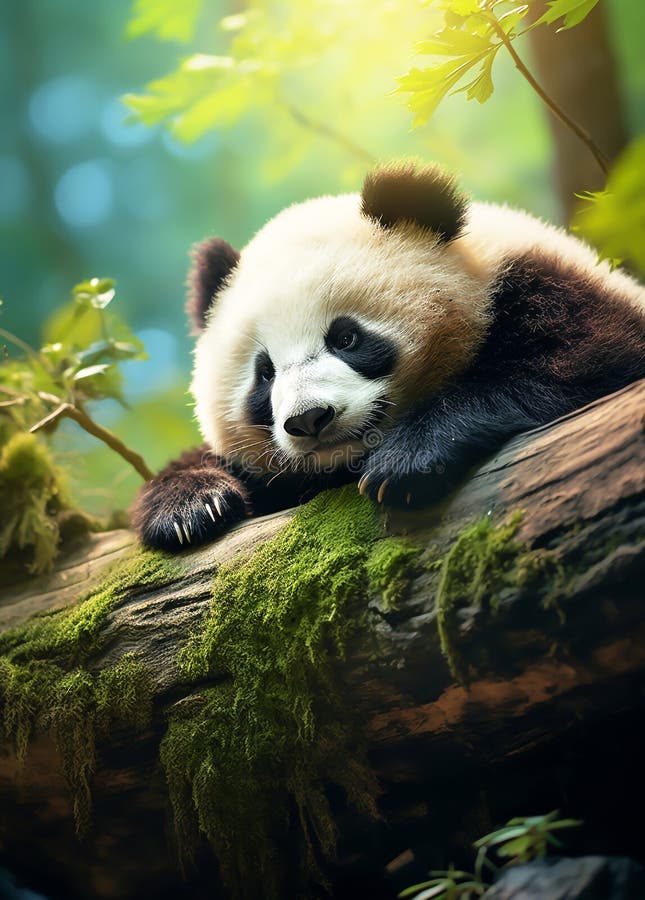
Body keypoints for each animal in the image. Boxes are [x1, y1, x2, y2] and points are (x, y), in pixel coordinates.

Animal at [132, 161, 645, 550]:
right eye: (265, 373)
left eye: (346, 338)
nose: (308, 419)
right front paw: (190, 506)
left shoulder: (546, 286)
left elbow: (589, 359)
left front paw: (407, 459)